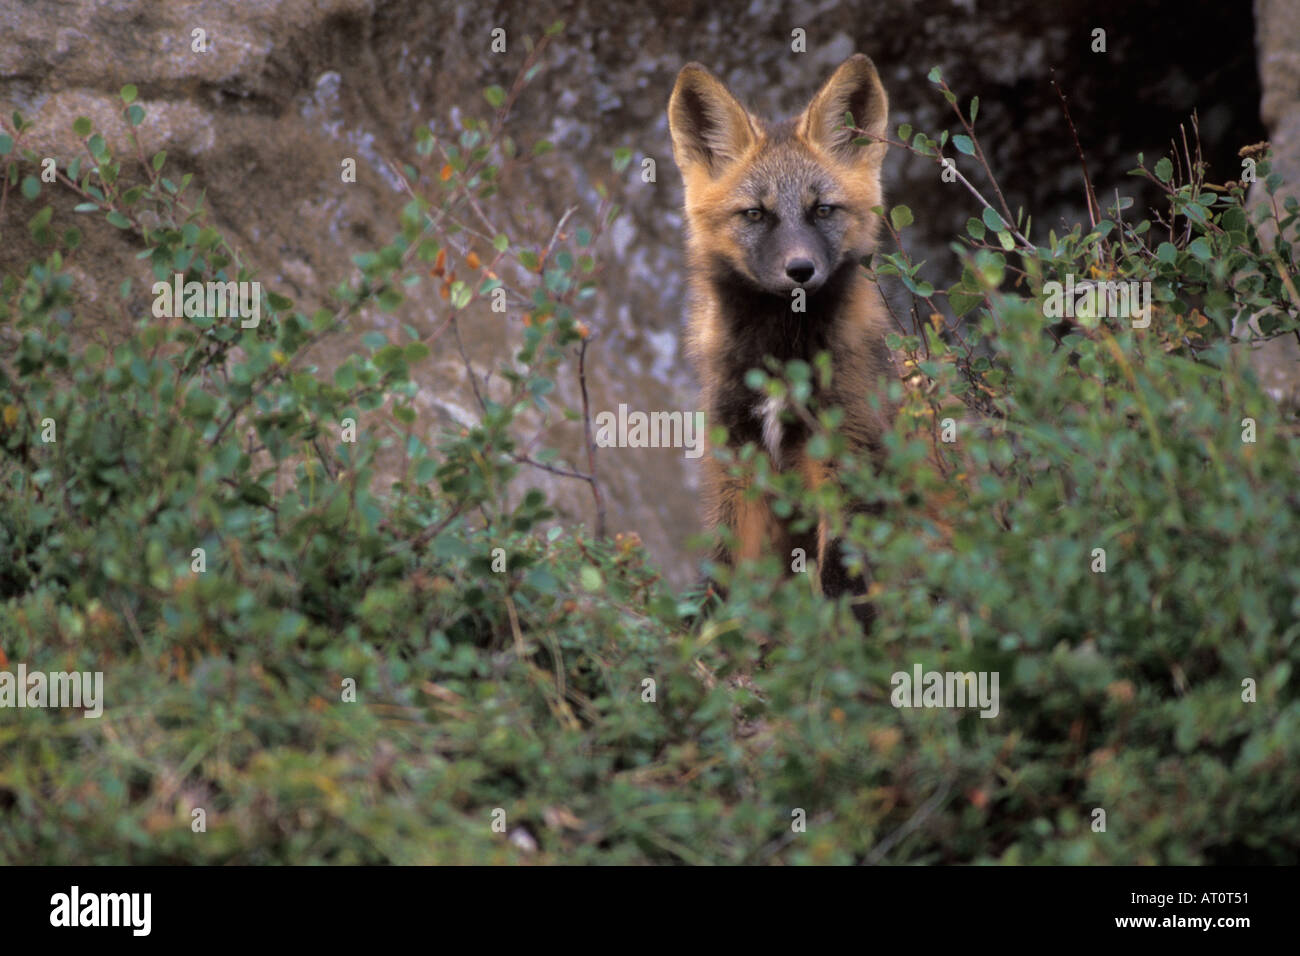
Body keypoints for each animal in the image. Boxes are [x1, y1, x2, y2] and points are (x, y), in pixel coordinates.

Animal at [667, 54, 899, 619]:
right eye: (755, 214)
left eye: (823, 210)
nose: (800, 270)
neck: (779, 362)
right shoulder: (740, 465)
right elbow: (722, 580)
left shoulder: (844, 458)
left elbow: (841, 583)